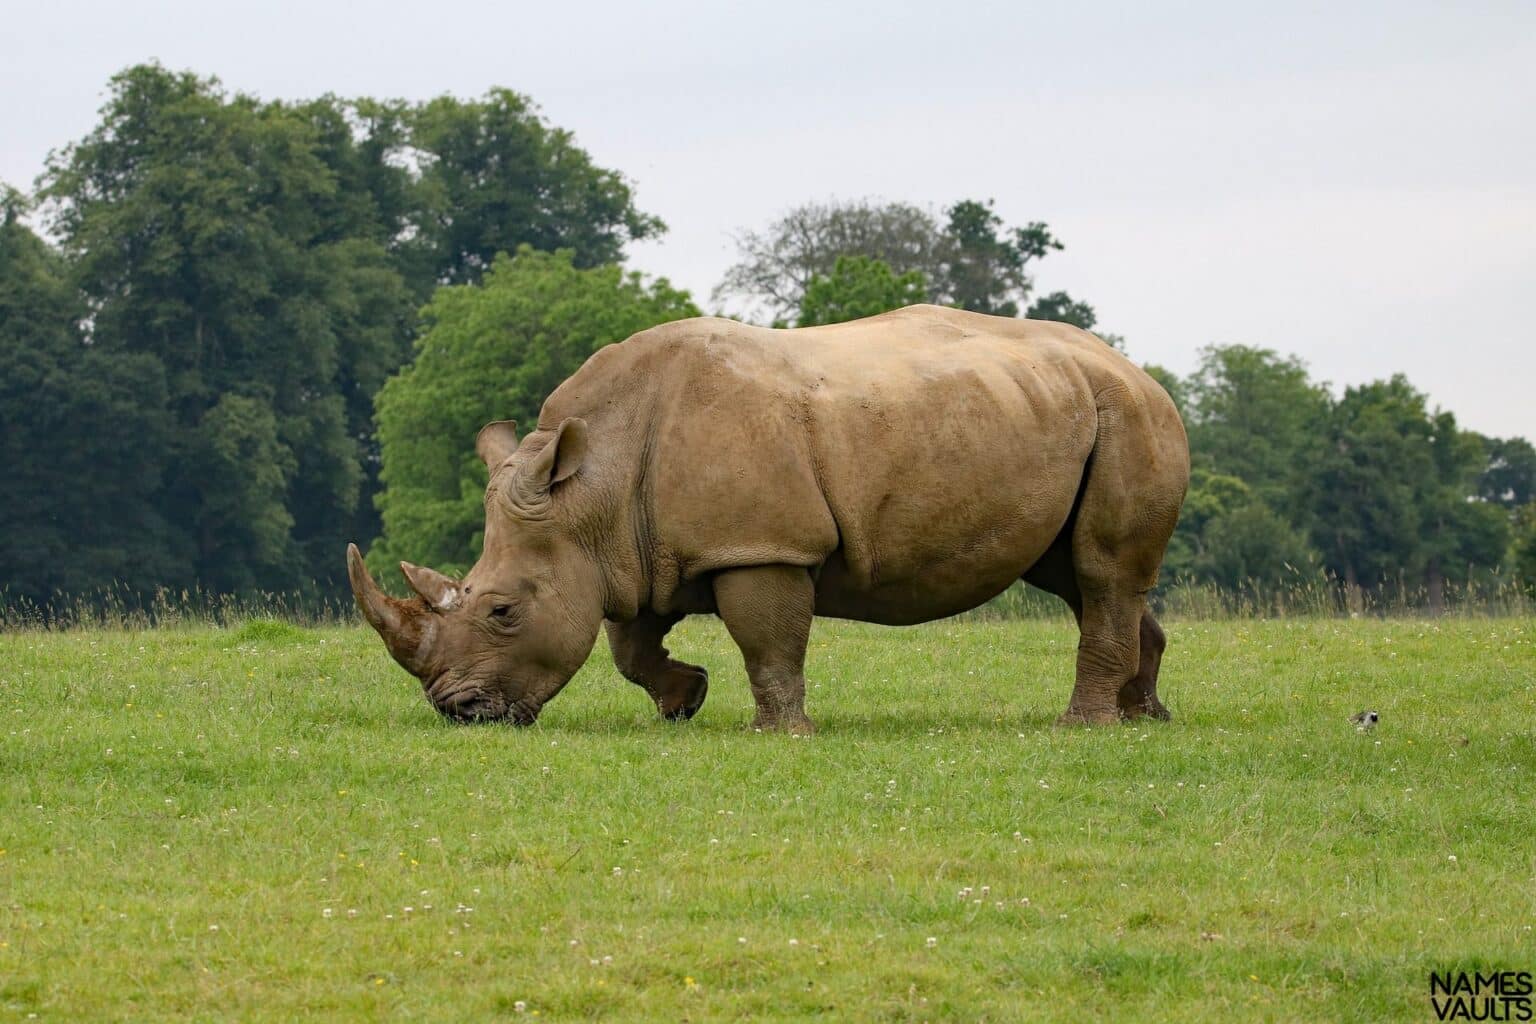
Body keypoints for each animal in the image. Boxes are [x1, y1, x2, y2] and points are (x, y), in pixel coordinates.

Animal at [348, 304, 1189, 731]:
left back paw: (1083, 727)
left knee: (1101, 570)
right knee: (1080, 576)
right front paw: (683, 701)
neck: (589, 493)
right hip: (1059, 410)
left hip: (1129, 417)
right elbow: (629, 644)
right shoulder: (634, 552)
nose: (458, 713)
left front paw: (779, 732)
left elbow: (768, 640)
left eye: (501, 610)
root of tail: (1138, 368)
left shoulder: (760, 545)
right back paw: (1146, 718)